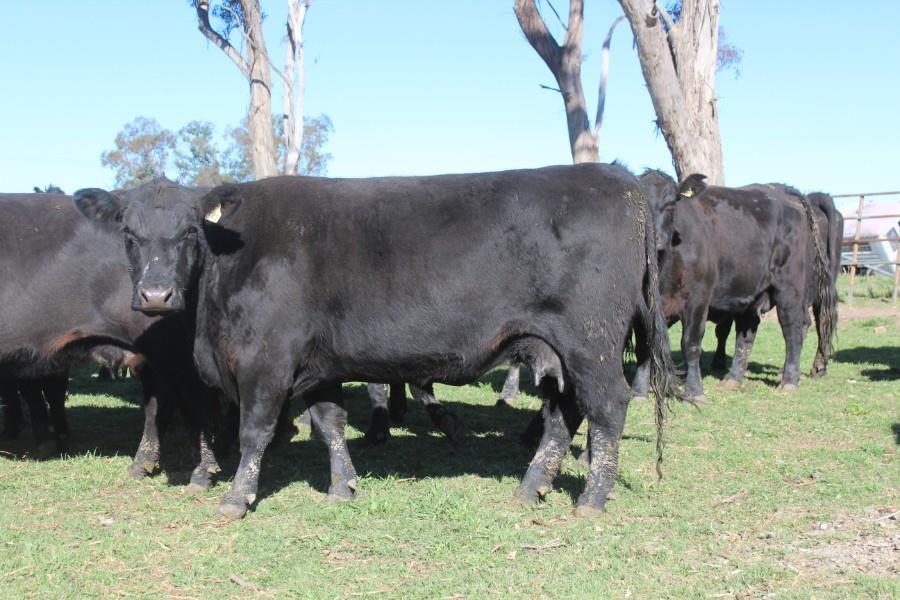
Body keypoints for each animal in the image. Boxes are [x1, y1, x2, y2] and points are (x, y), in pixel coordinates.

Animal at [73, 163, 680, 520]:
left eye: (189, 232)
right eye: (128, 234)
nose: (155, 294)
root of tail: (620, 181)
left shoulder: (266, 361)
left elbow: (255, 433)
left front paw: (235, 497)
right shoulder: (317, 365)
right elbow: (328, 424)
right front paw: (343, 485)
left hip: (591, 344)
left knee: (606, 408)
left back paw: (592, 500)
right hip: (554, 351)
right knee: (562, 415)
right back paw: (531, 488)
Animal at [632, 171, 838, 401]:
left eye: (670, 205)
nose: (654, 239)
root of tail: (783, 190)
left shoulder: (698, 299)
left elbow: (690, 343)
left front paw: (694, 390)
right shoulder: (642, 304)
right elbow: (644, 344)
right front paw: (639, 391)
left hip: (790, 288)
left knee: (793, 327)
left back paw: (789, 380)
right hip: (751, 291)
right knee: (746, 332)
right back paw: (733, 378)